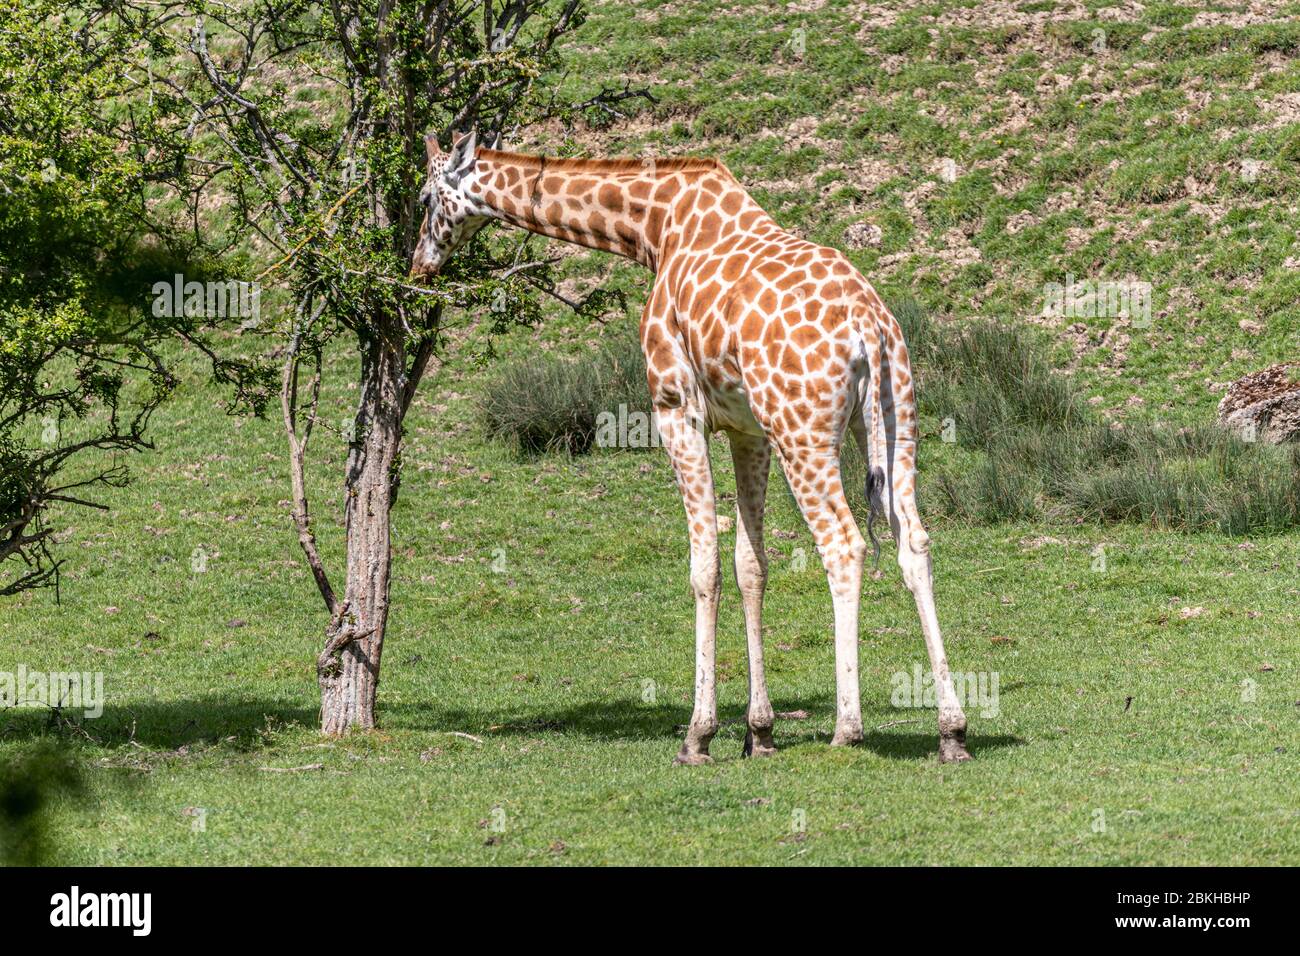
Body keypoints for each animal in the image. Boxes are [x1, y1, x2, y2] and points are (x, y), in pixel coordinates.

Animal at [411, 130, 972, 764]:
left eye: (426, 197)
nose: (421, 263)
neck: (654, 228)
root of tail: (867, 327)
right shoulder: (749, 429)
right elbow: (751, 565)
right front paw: (759, 732)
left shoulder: (676, 408)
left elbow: (704, 567)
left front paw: (698, 735)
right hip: (894, 419)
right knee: (914, 543)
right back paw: (952, 730)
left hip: (803, 430)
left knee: (844, 546)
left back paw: (847, 729)